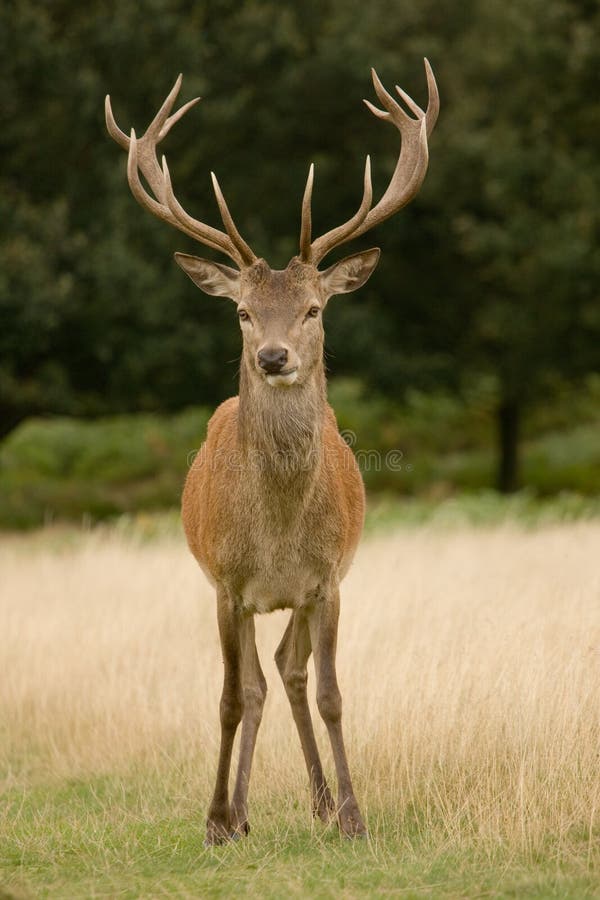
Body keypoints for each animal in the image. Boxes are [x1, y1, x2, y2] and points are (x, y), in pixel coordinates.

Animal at [105, 60, 438, 845]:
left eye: (315, 307)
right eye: (242, 312)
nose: (274, 356)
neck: (280, 533)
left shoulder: (328, 581)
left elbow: (331, 692)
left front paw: (352, 814)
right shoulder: (227, 584)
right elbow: (231, 698)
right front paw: (216, 820)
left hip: (304, 596)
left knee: (287, 672)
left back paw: (316, 800)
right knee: (256, 685)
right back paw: (243, 811)